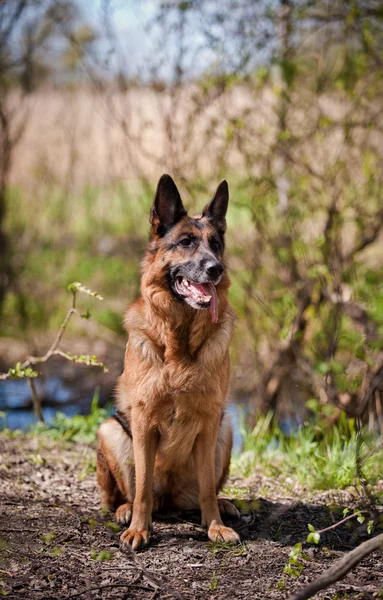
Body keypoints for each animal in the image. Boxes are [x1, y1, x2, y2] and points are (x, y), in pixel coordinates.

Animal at [96, 173, 240, 548]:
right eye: (186, 242)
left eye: (215, 244)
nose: (216, 269)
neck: (179, 343)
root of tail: (171, 498)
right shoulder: (144, 422)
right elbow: (143, 487)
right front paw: (139, 530)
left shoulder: (209, 421)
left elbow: (207, 488)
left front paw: (215, 526)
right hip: (110, 431)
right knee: (126, 495)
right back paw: (125, 511)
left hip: (224, 431)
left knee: (205, 490)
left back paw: (223, 505)